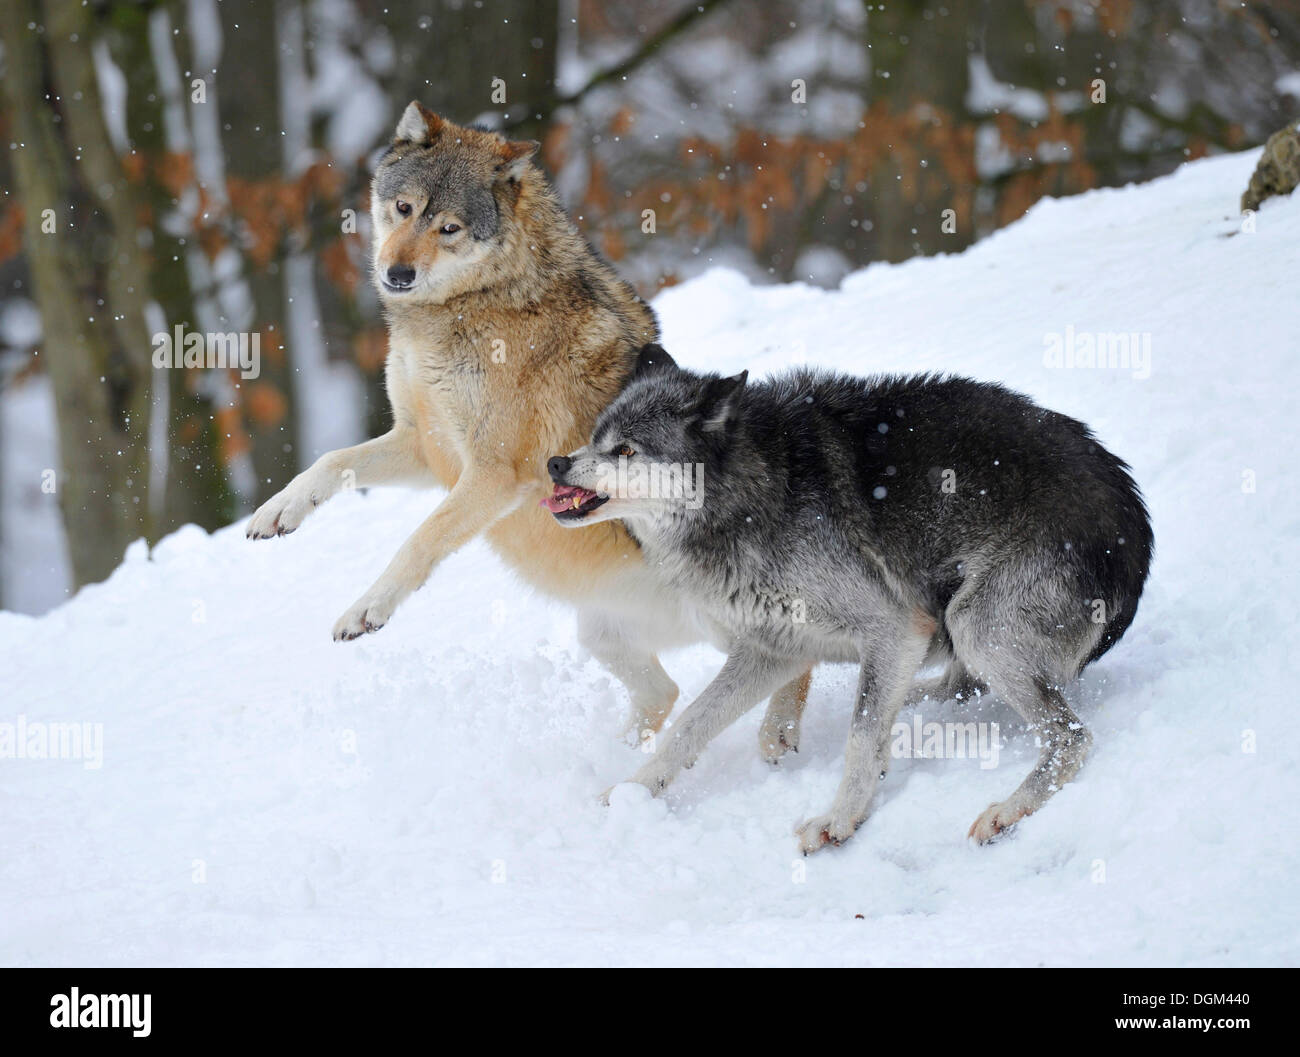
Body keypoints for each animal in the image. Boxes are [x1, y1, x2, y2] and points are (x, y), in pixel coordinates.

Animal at [245, 103, 810, 742]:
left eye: (450, 228)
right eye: (405, 208)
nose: (398, 274)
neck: (470, 305)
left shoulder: (496, 473)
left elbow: (420, 540)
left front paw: (367, 609)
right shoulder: (424, 446)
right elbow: (331, 462)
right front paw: (277, 513)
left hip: (729, 632)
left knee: (797, 668)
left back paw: (777, 745)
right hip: (602, 633)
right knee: (663, 693)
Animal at [547, 345, 1153, 851]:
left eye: (626, 450)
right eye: (595, 437)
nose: (555, 463)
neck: (754, 494)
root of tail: (1137, 524)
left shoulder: (896, 627)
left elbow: (860, 740)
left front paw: (841, 820)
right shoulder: (775, 649)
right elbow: (688, 726)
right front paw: (630, 793)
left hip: (974, 625)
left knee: (1070, 738)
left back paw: (1005, 811)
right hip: (962, 633)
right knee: (954, 690)